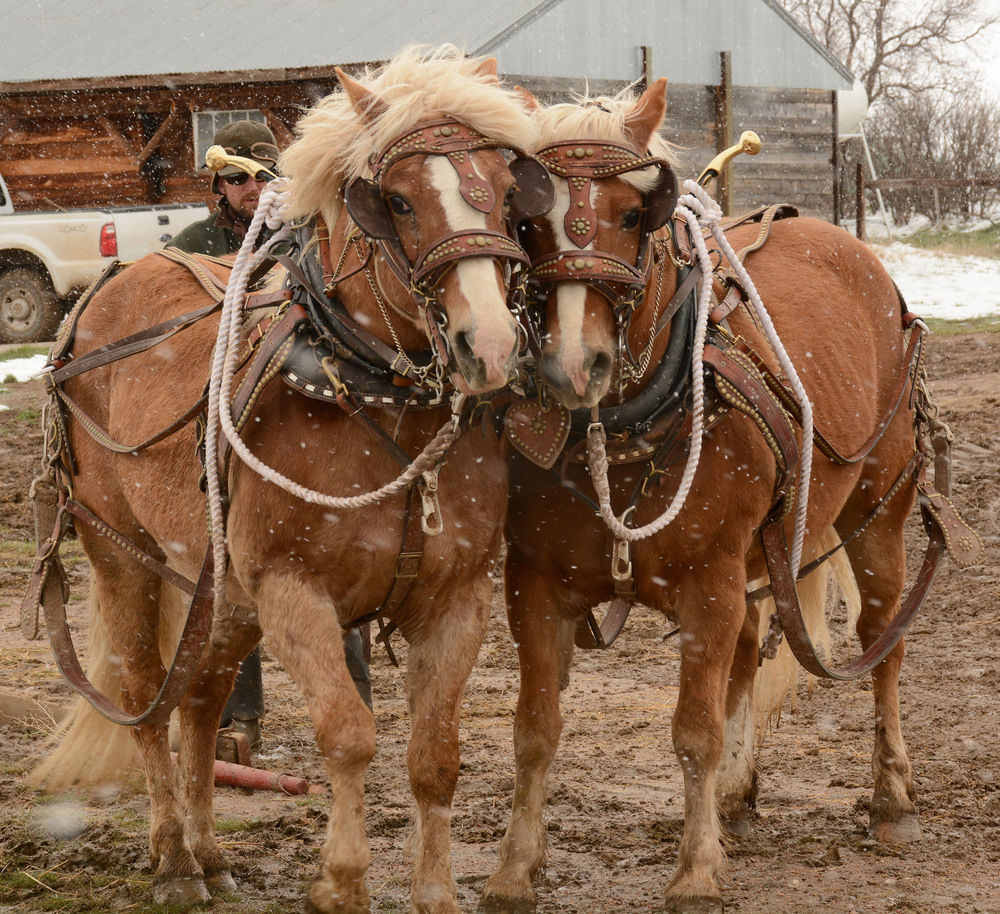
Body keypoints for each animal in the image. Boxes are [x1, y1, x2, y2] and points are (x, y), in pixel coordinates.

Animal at [26, 45, 545, 913]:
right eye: (397, 202)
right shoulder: (293, 590)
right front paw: (341, 880)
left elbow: (436, 754)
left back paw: (209, 854)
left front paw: (436, 892)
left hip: (220, 586)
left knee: (200, 703)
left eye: (508, 194)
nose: (492, 346)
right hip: (122, 552)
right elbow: (349, 733)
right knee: (143, 697)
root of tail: (98, 295)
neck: (376, 399)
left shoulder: (458, 596)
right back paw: (172, 857)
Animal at [479, 78, 975, 914]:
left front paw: (695, 871)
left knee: (883, 639)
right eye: (525, 221)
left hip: (878, 509)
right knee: (749, 648)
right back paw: (739, 799)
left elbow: (694, 732)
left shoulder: (707, 583)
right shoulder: (537, 584)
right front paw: (515, 868)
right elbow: (535, 728)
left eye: (633, 215)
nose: (574, 366)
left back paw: (890, 800)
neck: (620, 433)